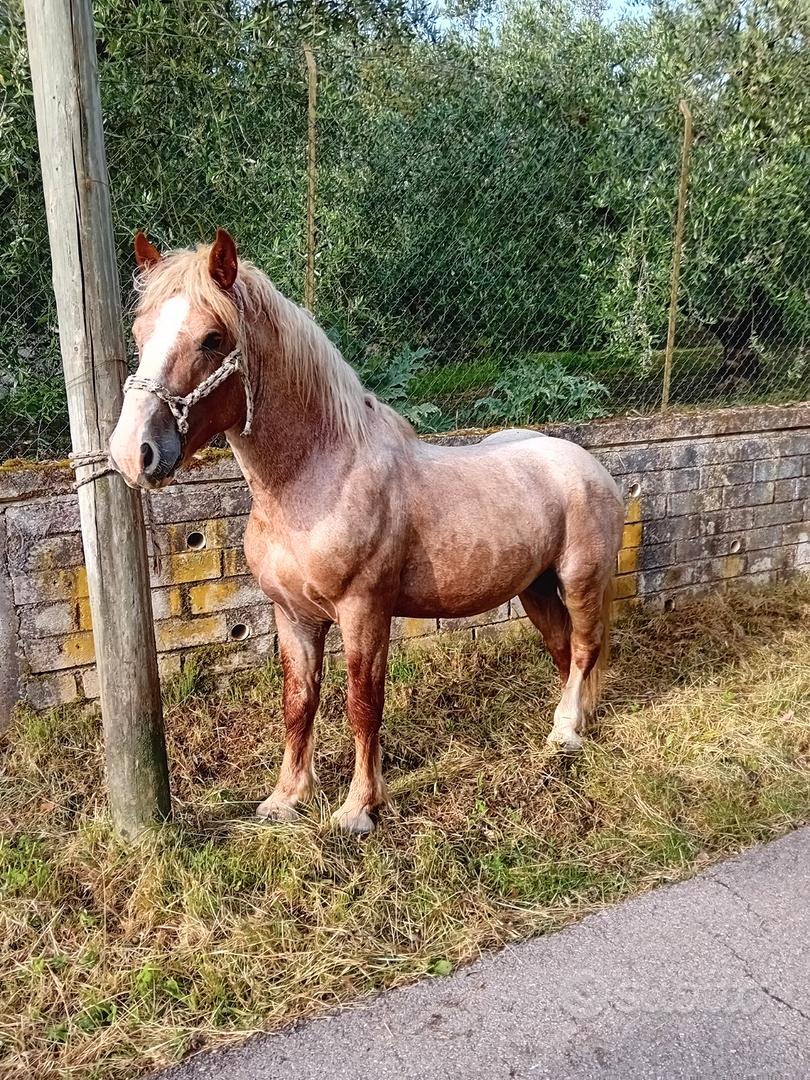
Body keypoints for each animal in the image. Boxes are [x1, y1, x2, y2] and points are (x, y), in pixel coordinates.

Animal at [109, 229, 624, 834]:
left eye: (212, 339)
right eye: (140, 333)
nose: (133, 452)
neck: (319, 478)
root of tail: (595, 470)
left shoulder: (364, 610)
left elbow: (362, 702)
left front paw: (358, 809)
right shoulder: (293, 616)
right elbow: (298, 702)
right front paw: (287, 798)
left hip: (581, 581)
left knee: (586, 647)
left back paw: (565, 733)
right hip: (536, 589)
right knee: (565, 649)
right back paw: (572, 722)